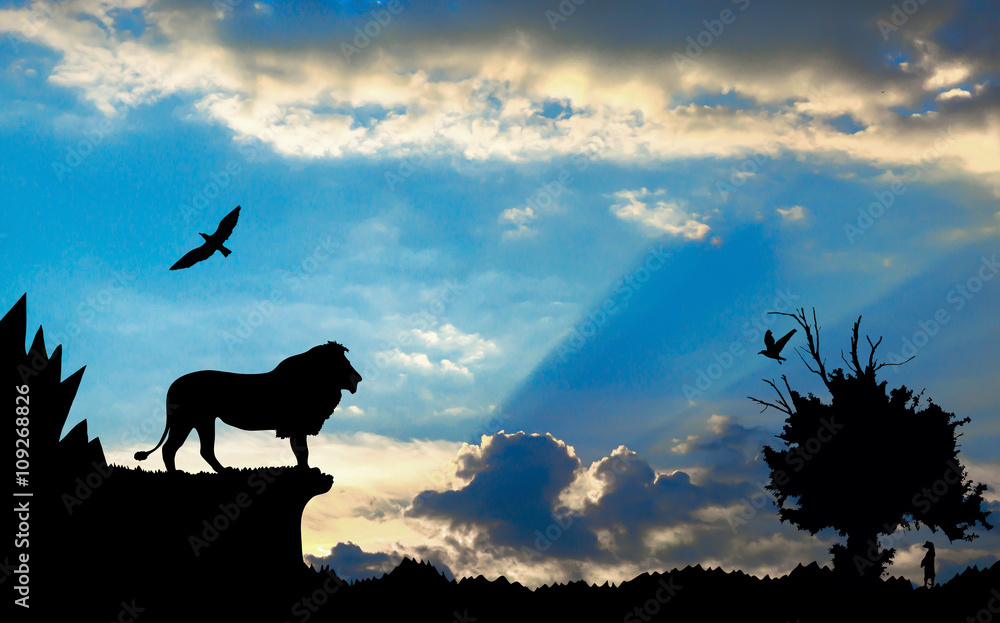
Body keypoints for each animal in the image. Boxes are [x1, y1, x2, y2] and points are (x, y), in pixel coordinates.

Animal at [135, 341, 361, 473]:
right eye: (343, 362)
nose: (358, 378)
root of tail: (173, 385)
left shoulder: (298, 425)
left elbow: (300, 450)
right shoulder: (297, 424)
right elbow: (302, 450)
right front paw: (307, 471)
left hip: (201, 421)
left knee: (203, 450)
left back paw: (224, 471)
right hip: (188, 420)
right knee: (171, 448)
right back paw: (178, 474)